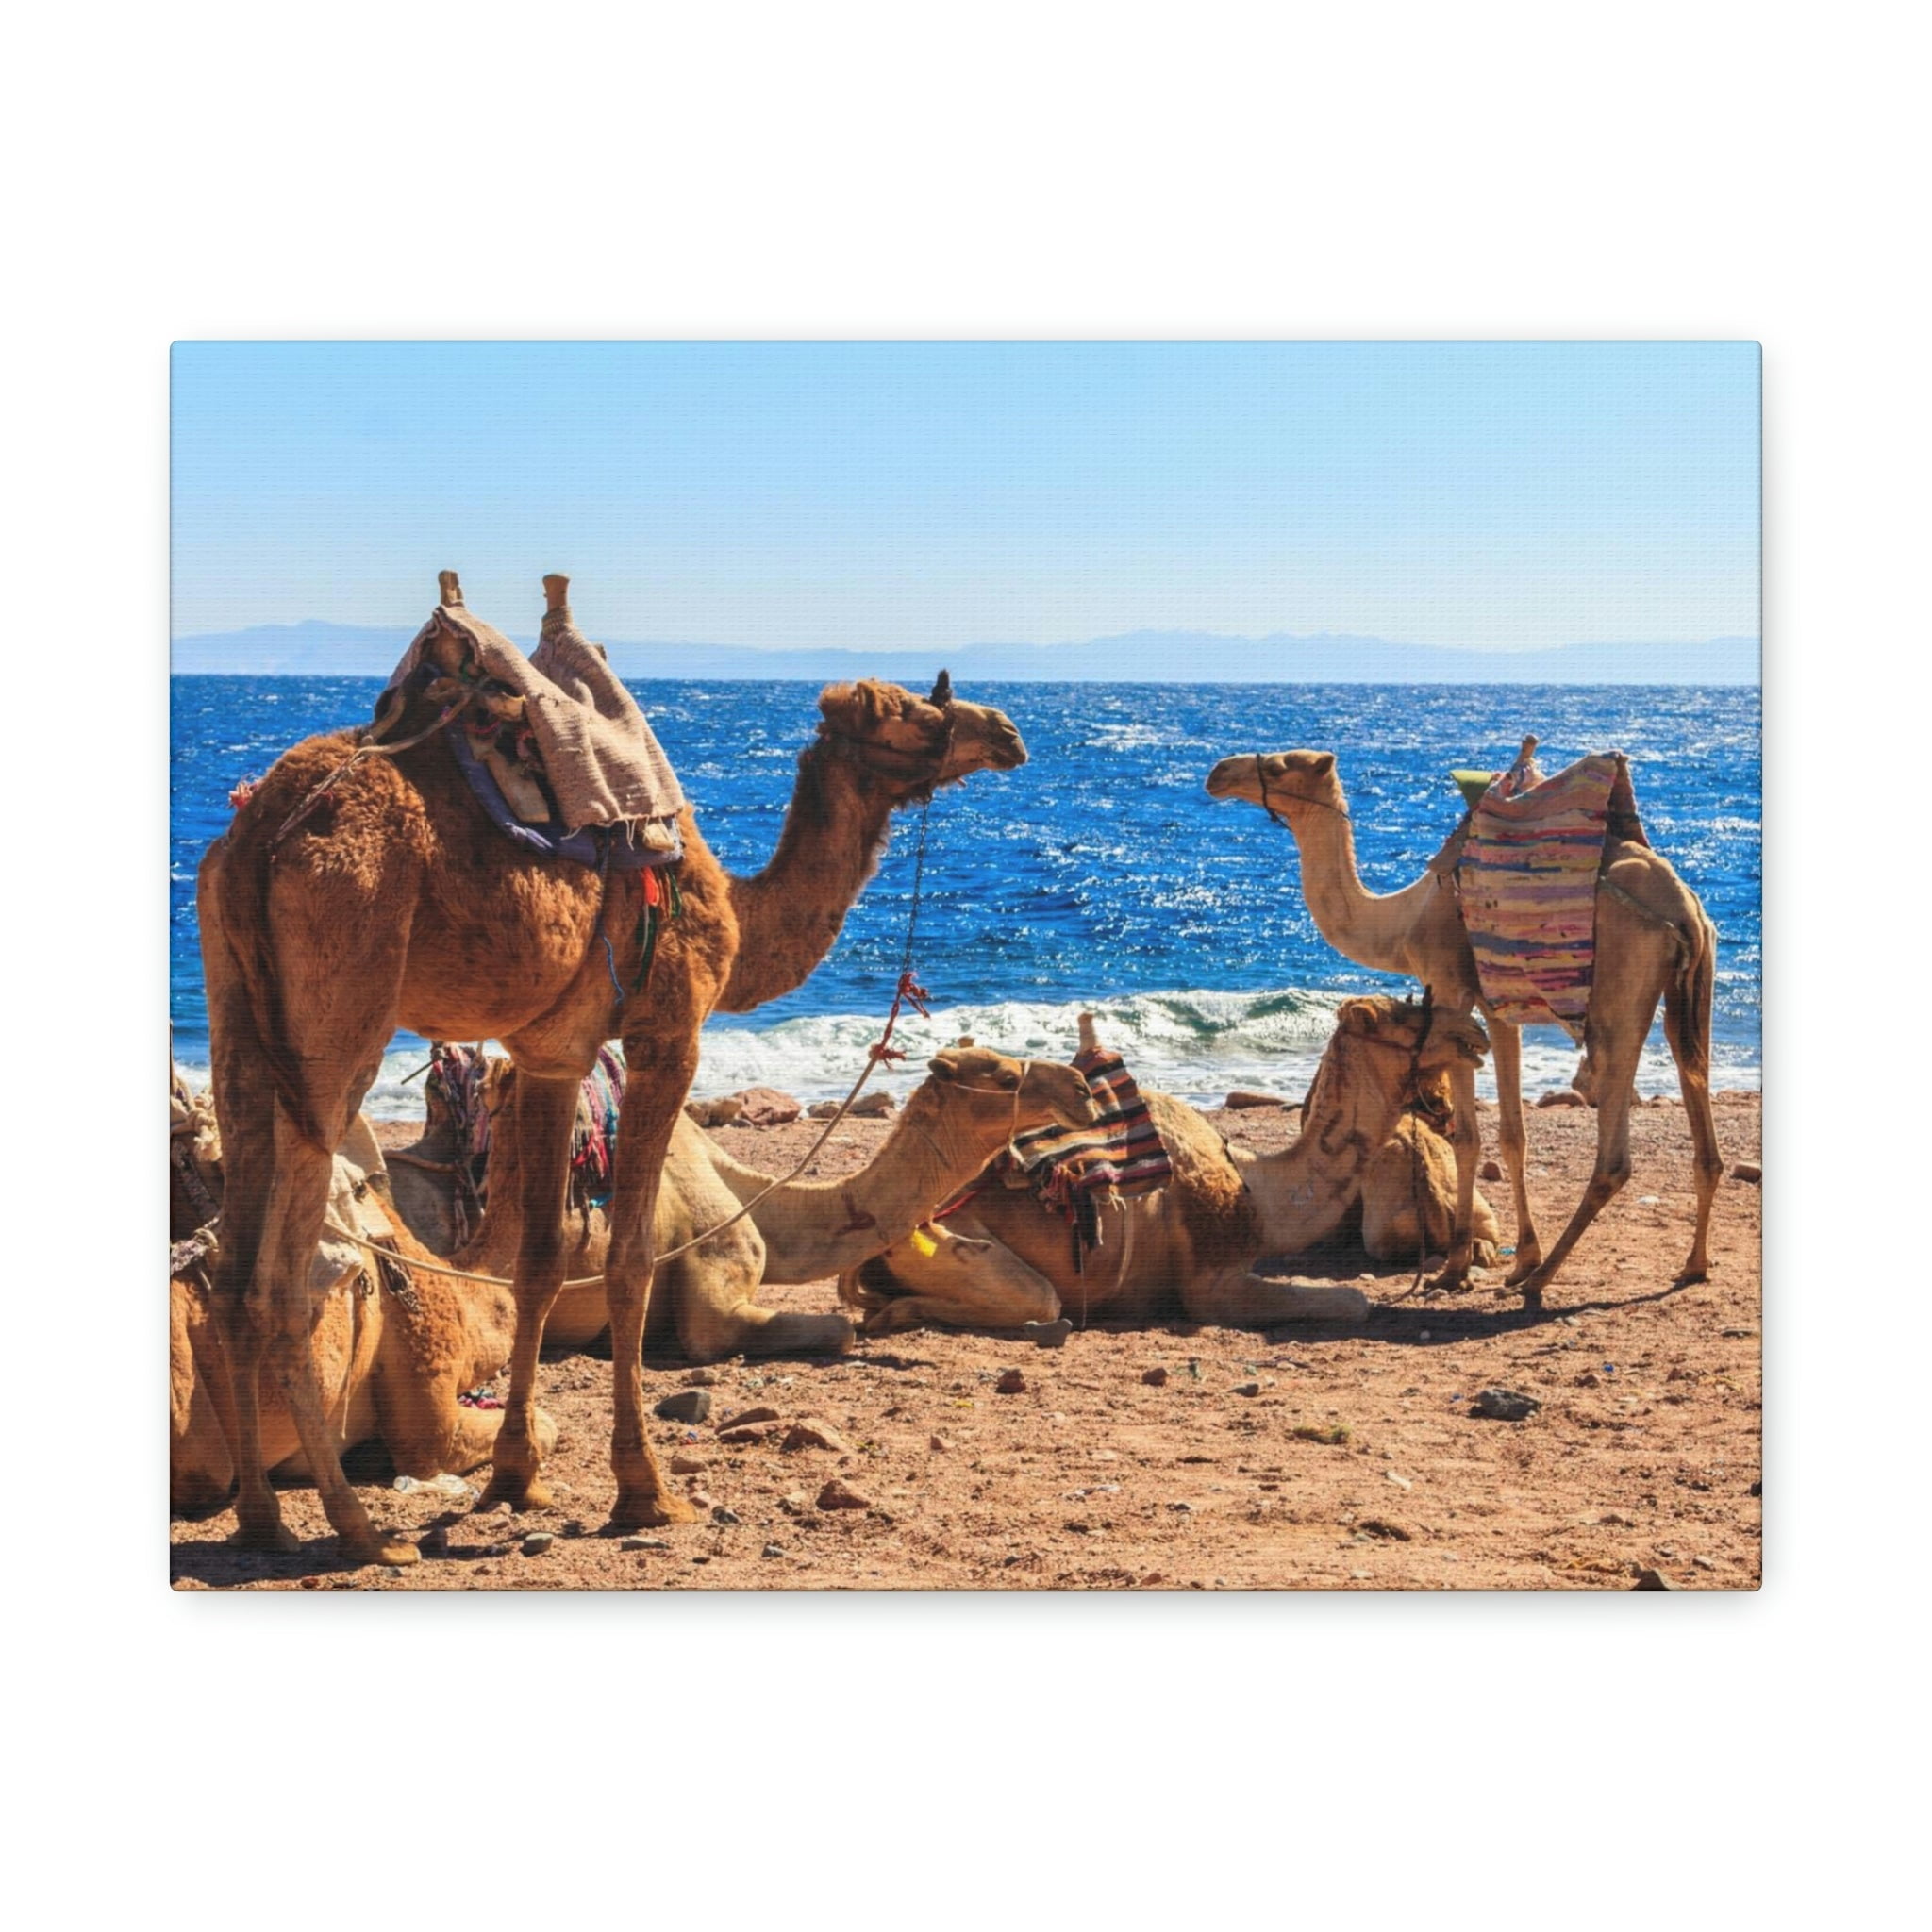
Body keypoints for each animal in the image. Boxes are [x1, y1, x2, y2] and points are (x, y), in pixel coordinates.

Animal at [840, 997, 1493, 1334]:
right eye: (1406, 1015)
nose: (1476, 1031)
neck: (1260, 1188)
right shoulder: (1211, 1285)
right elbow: (1353, 1301)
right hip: (948, 1239)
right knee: (1037, 1300)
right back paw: (897, 1314)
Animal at [1205, 749, 1722, 1306]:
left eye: (1282, 765)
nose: (1219, 773)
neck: (1400, 922)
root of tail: (1685, 908)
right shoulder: (1499, 1007)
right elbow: (1513, 1134)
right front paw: (1520, 1259)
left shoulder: (1451, 987)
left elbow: (1468, 1136)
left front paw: (1454, 1270)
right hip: (1689, 990)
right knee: (1696, 1090)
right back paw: (1692, 1265)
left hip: (1619, 990)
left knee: (1614, 1145)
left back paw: (1543, 1281)